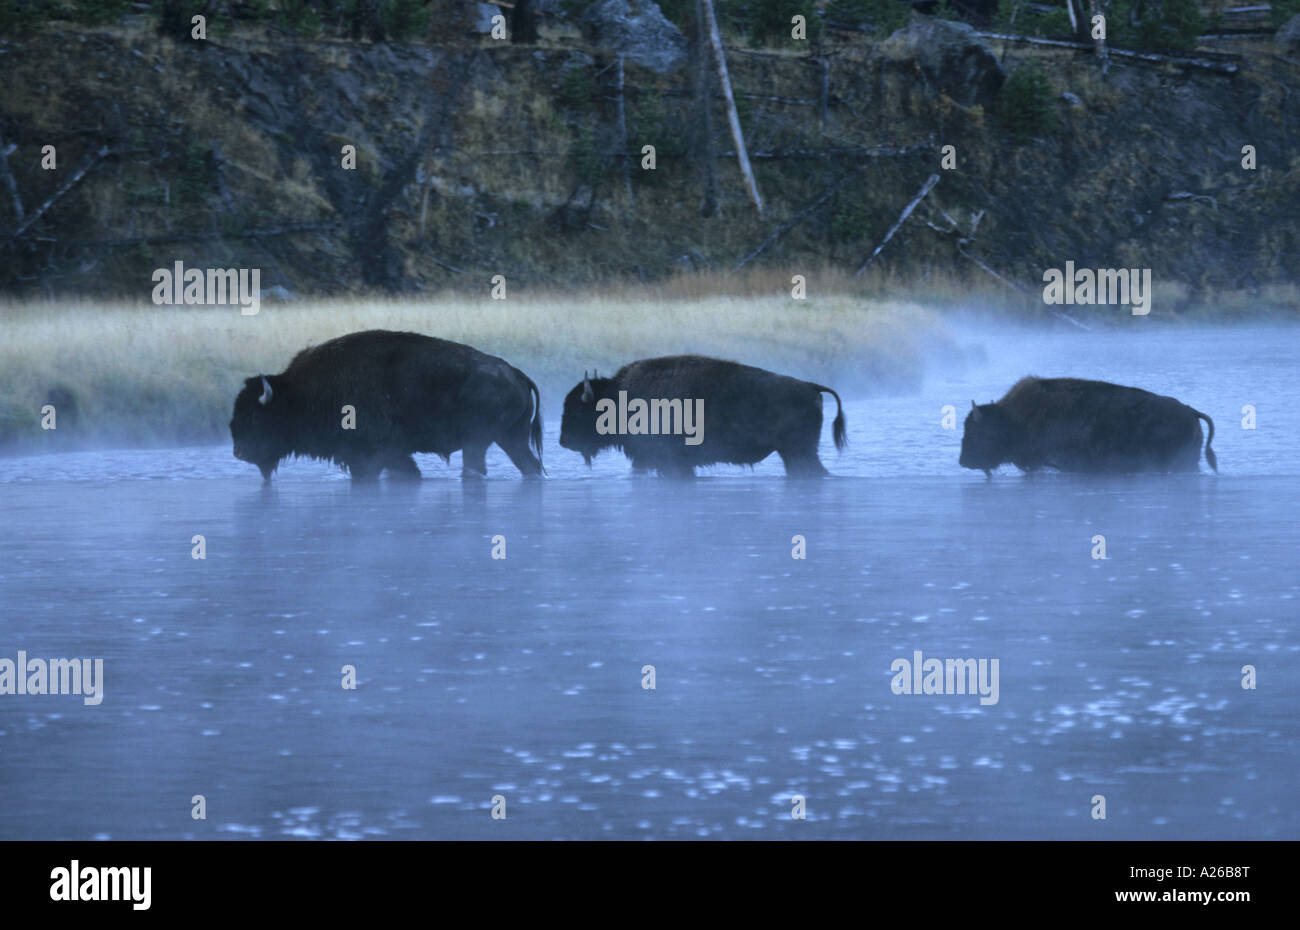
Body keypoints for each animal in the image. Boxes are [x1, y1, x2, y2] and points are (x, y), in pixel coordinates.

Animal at [230, 330, 542, 481]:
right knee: (530, 466)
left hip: (478, 441)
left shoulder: (368, 456)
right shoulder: (393, 455)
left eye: (255, 417)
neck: (298, 393)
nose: (238, 452)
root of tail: (517, 374)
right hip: (510, 438)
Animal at [559, 355, 846, 477]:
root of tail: (811, 386)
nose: (563, 441)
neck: (619, 396)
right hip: (794, 453)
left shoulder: (670, 461)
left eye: (577, 411)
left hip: (798, 452)